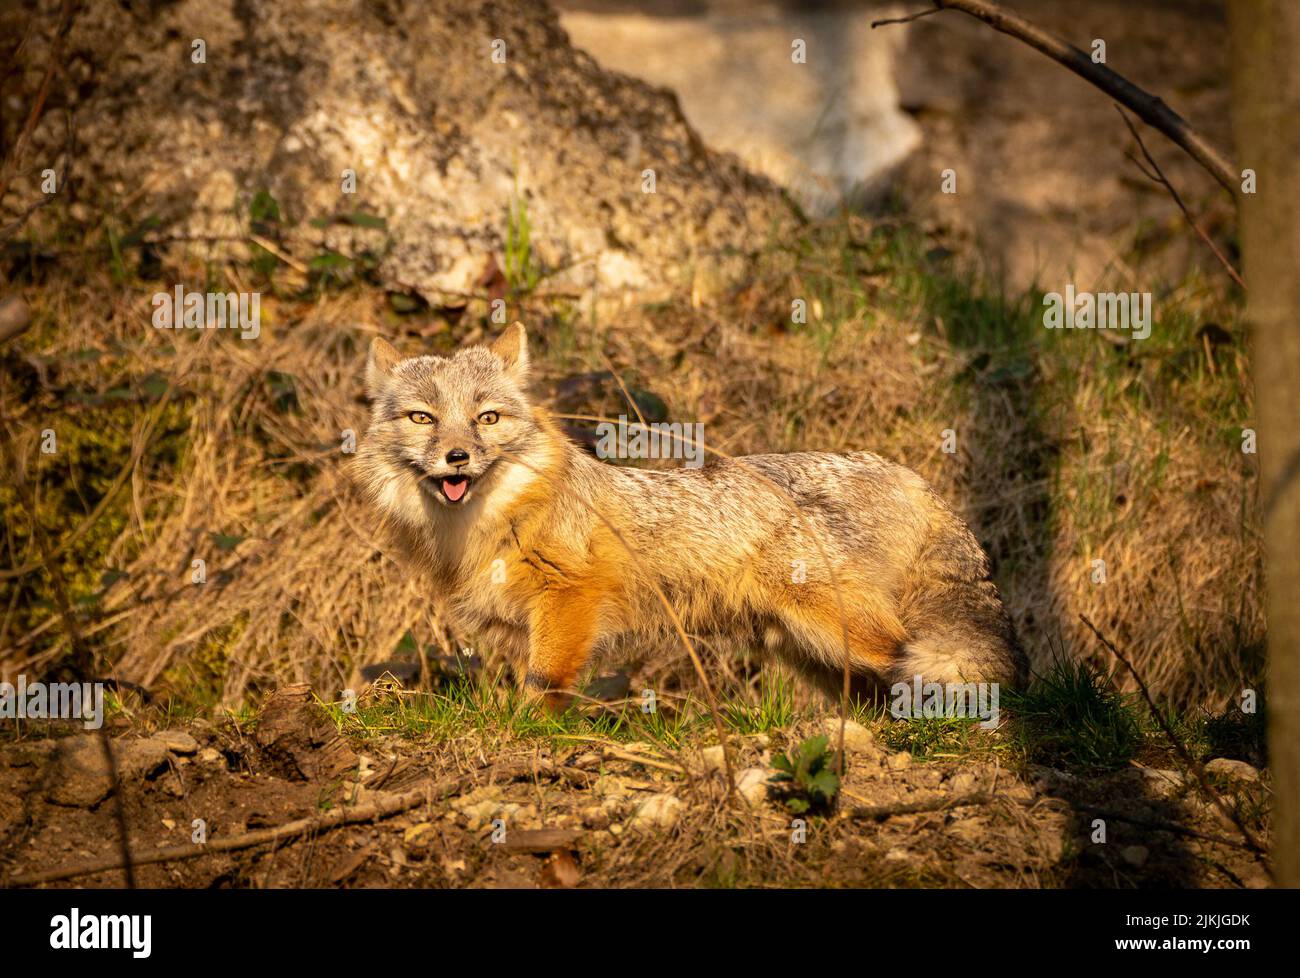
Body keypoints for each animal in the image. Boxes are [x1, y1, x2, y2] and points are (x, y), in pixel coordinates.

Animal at [354, 323, 1026, 710]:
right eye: (423, 418)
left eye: (486, 418)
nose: (457, 457)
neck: (484, 529)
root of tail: (909, 475)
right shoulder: (525, 625)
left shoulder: (568, 602)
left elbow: (544, 689)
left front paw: (525, 736)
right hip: (814, 653)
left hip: (848, 632)